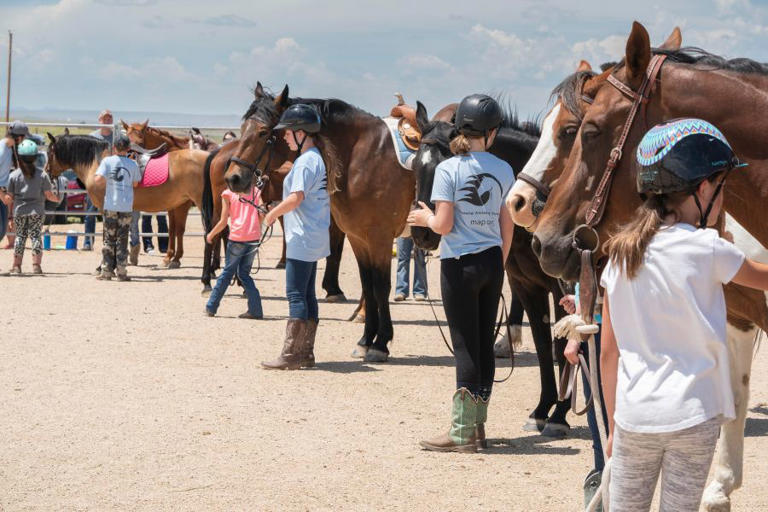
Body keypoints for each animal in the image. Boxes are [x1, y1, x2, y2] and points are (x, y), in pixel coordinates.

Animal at [45, 134, 214, 277]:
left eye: (49, 152)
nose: (46, 171)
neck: (99, 162)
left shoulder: (105, 208)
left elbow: (107, 237)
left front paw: (103, 267)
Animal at [223, 85, 422, 361]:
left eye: (263, 132)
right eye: (243, 129)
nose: (233, 178)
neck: (364, 157)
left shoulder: (379, 239)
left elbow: (380, 287)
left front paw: (380, 343)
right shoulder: (359, 239)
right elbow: (368, 285)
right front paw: (365, 341)